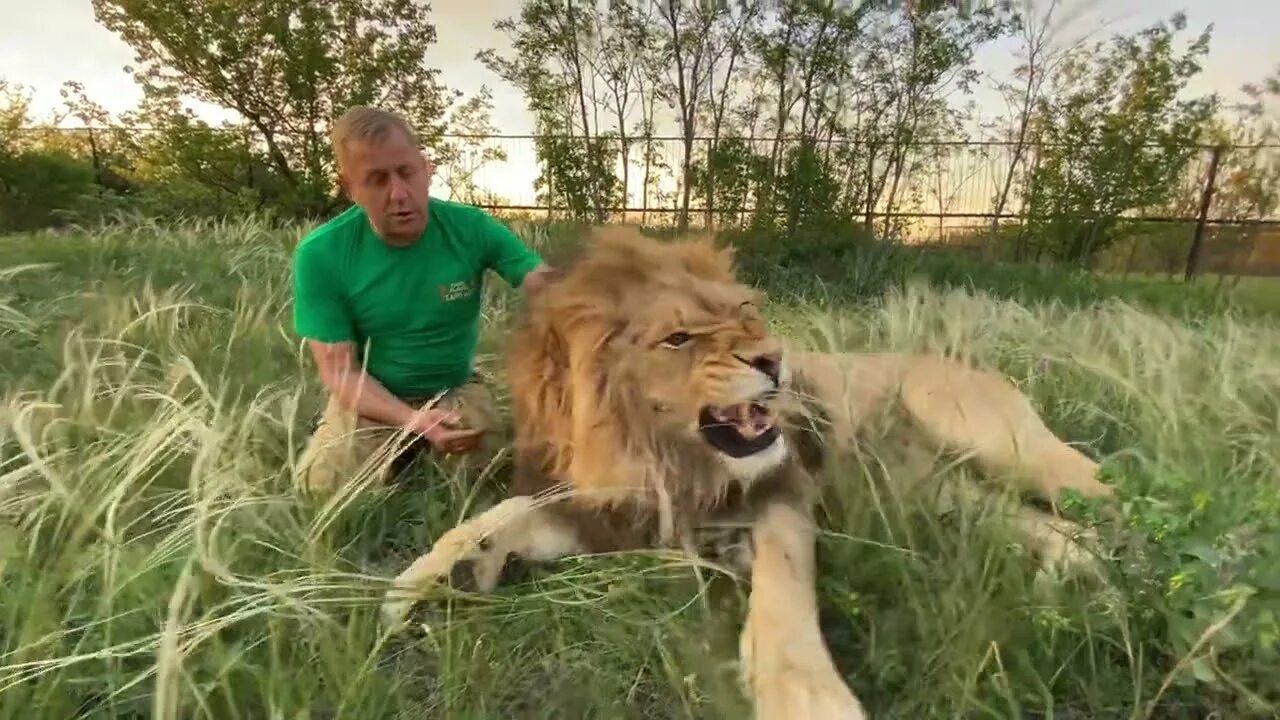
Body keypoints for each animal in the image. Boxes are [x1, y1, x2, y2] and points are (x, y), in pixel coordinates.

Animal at [381, 225, 1114, 719]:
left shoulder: (782, 493)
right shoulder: (603, 506)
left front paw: (809, 700)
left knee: (1105, 496)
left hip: (1000, 443)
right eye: (678, 339)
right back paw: (1068, 587)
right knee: (1066, 532)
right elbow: (494, 517)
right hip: (940, 493)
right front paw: (428, 580)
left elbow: (784, 588)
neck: (662, 456)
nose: (774, 359)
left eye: (743, 314)